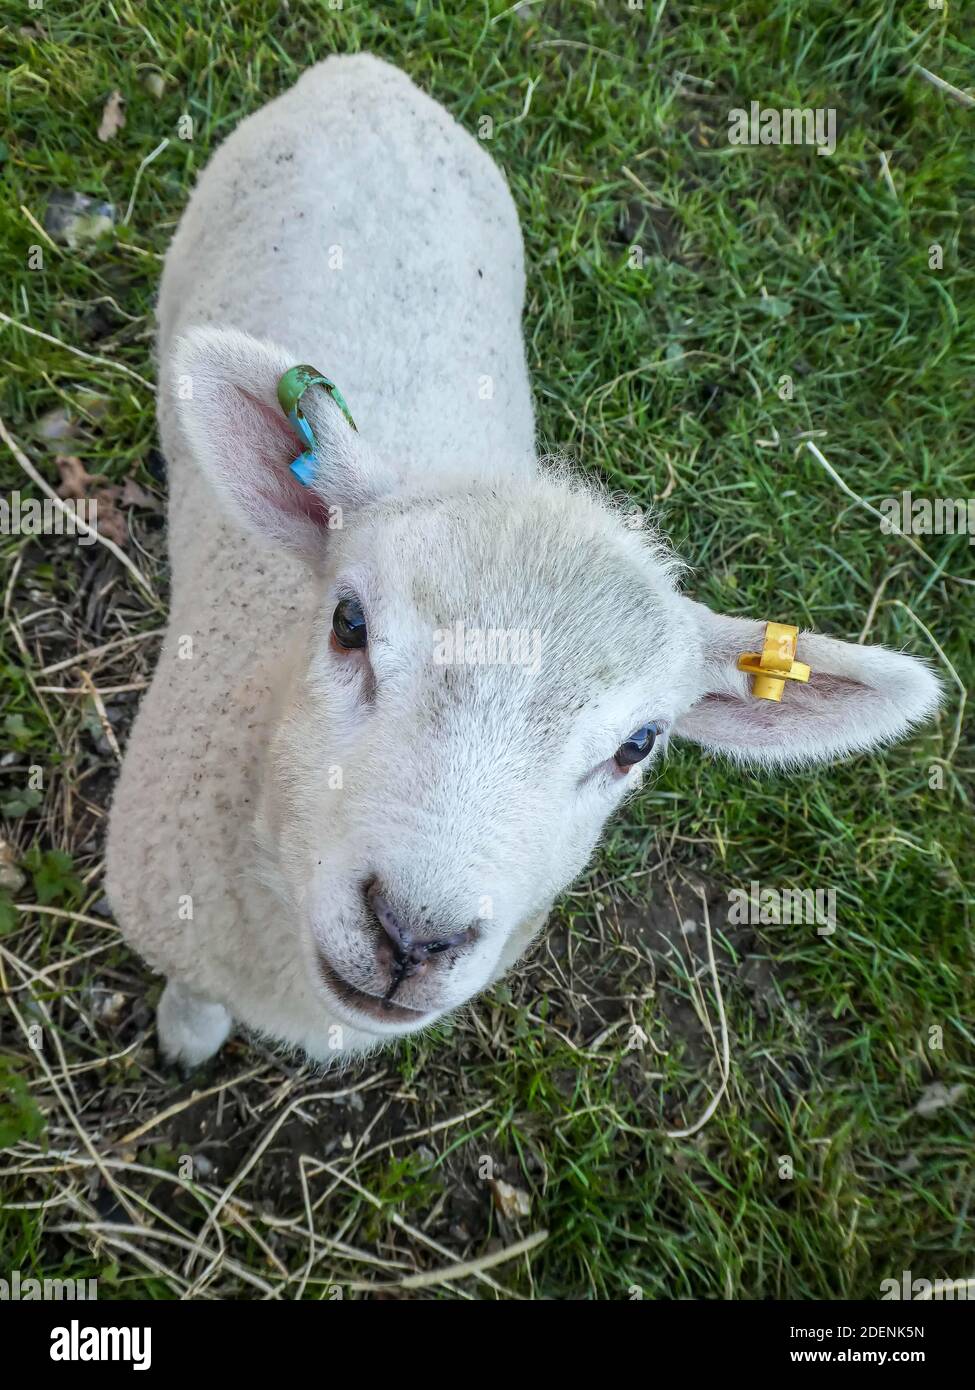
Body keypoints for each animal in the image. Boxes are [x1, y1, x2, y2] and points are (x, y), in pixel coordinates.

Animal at [105, 54, 941, 1068]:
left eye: (637, 744)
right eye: (348, 624)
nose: (413, 936)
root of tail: (363, 72)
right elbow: (191, 993)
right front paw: (185, 1039)